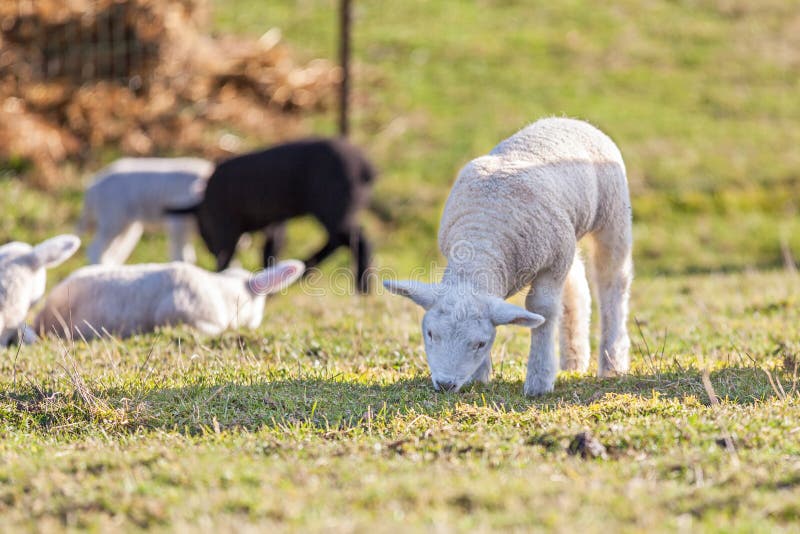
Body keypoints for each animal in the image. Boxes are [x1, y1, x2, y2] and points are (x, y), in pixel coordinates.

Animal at [80, 157, 213, 265]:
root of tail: (93, 185)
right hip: (112, 217)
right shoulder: (177, 224)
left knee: (113, 253)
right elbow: (180, 257)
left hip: (127, 225)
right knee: (95, 250)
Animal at [165, 138, 375, 293]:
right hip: (335, 209)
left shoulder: (224, 223)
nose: (208, 248)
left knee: (358, 240)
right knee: (338, 241)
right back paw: (304, 271)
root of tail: (366, 166)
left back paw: (362, 288)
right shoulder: (274, 222)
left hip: (333, 205)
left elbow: (225, 256)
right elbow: (271, 250)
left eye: (203, 230)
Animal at [384, 117, 633, 396]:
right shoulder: (555, 254)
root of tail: (568, 120)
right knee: (576, 285)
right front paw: (479, 376)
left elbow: (542, 309)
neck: (483, 240)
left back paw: (612, 363)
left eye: (480, 343)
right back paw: (573, 360)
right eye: (429, 333)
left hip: (612, 216)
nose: (446, 384)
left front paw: (539, 380)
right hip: (568, 237)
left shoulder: (552, 262)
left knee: (612, 283)